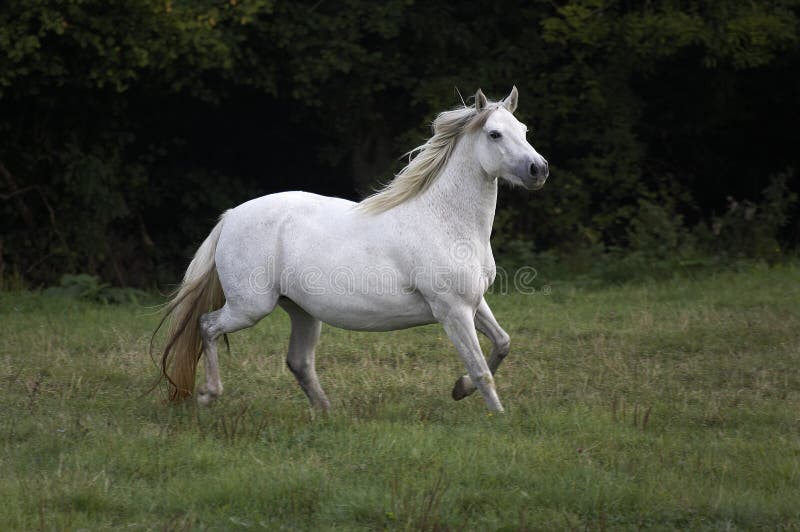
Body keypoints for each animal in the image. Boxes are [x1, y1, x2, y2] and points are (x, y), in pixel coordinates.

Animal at [154, 87, 549, 413]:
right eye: (494, 134)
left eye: (524, 129)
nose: (538, 169)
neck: (444, 221)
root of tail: (231, 217)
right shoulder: (452, 310)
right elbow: (481, 369)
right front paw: (498, 417)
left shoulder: (473, 303)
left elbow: (502, 343)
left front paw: (459, 389)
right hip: (250, 307)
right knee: (207, 326)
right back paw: (209, 395)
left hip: (301, 310)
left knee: (298, 361)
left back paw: (327, 413)